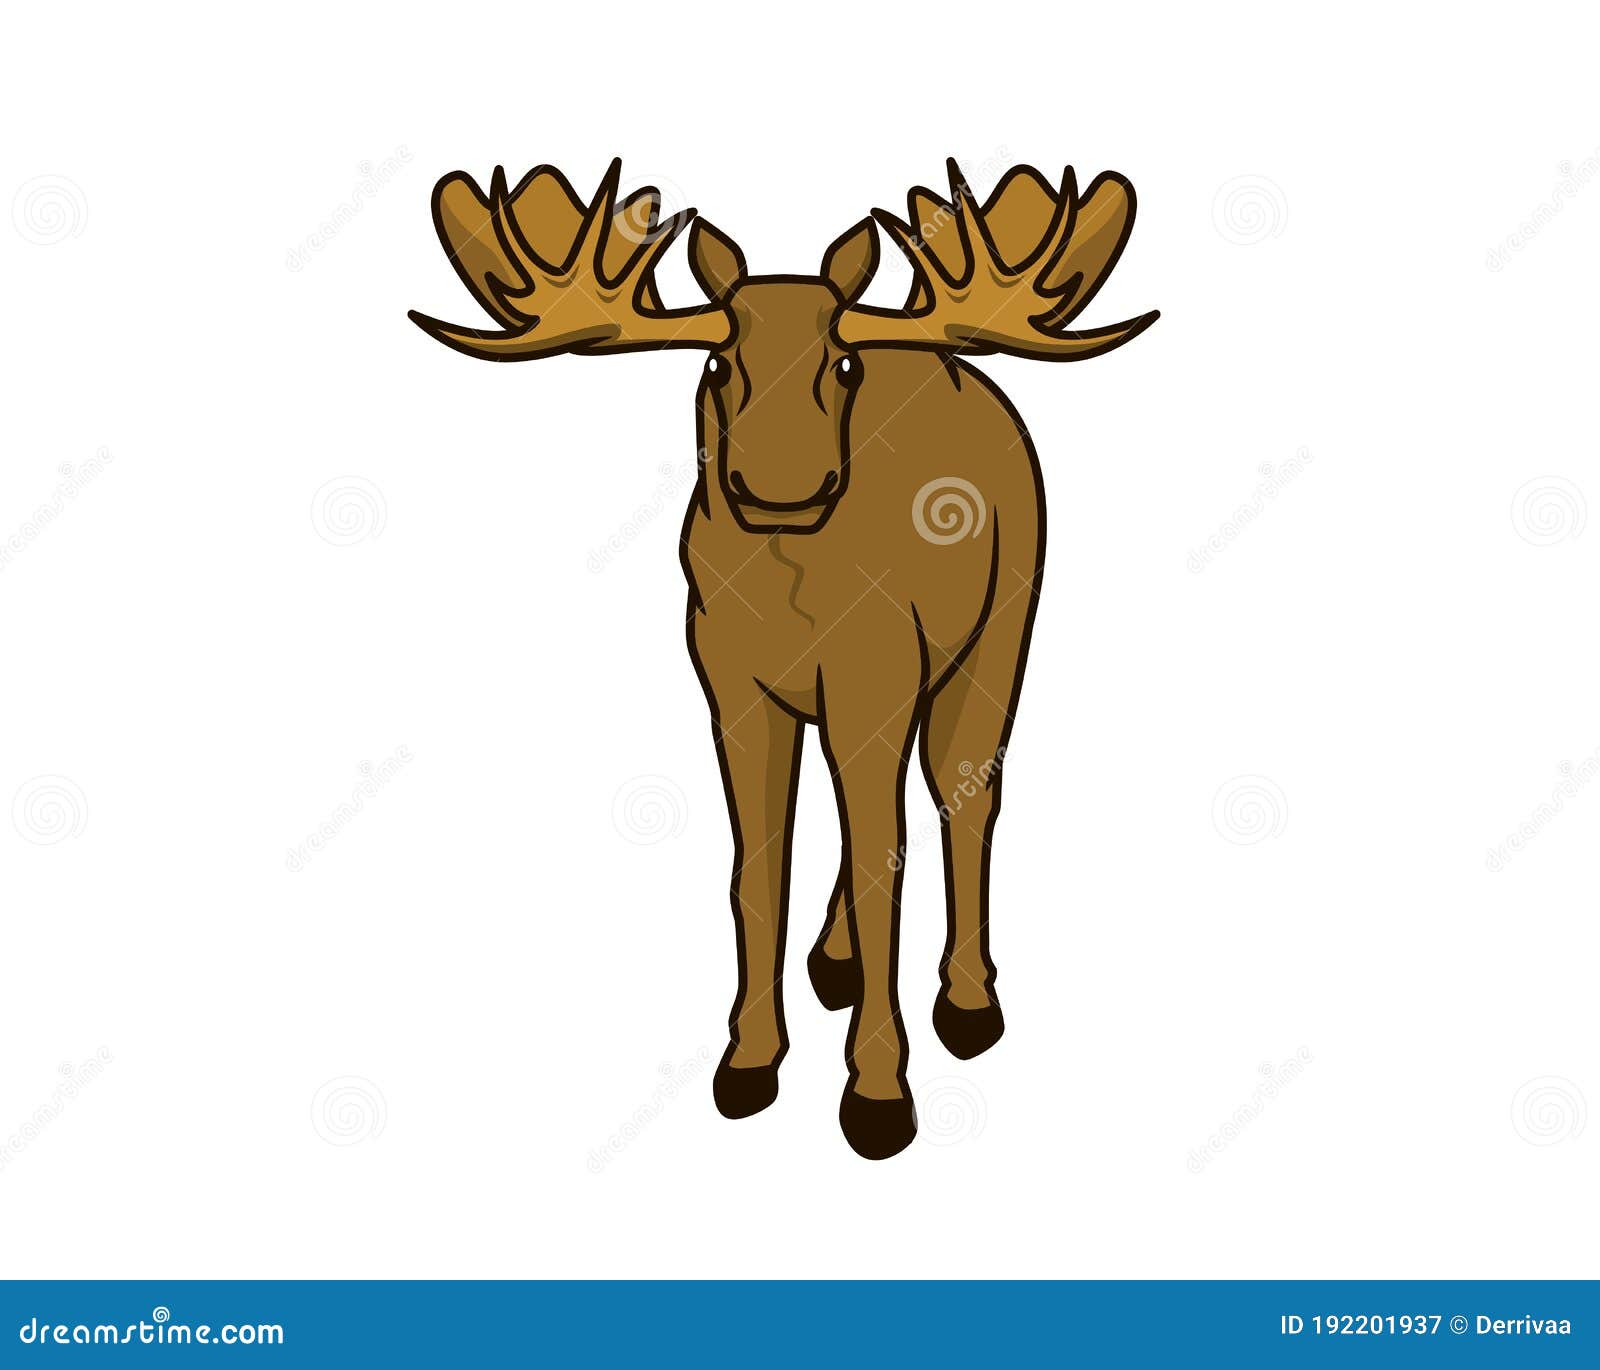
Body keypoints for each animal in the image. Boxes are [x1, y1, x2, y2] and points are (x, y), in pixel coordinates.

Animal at [410, 158, 1157, 1158]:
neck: (786, 591)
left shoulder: (875, 674)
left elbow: (887, 860)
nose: (781, 487)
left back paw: (968, 1001)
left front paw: (878, 1090)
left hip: (1000, 629)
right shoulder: (734, 689)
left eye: (840, 363)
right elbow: (757, 868)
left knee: (963, 789)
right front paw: (748, 1059)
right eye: (717, 362)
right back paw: (834, 958)